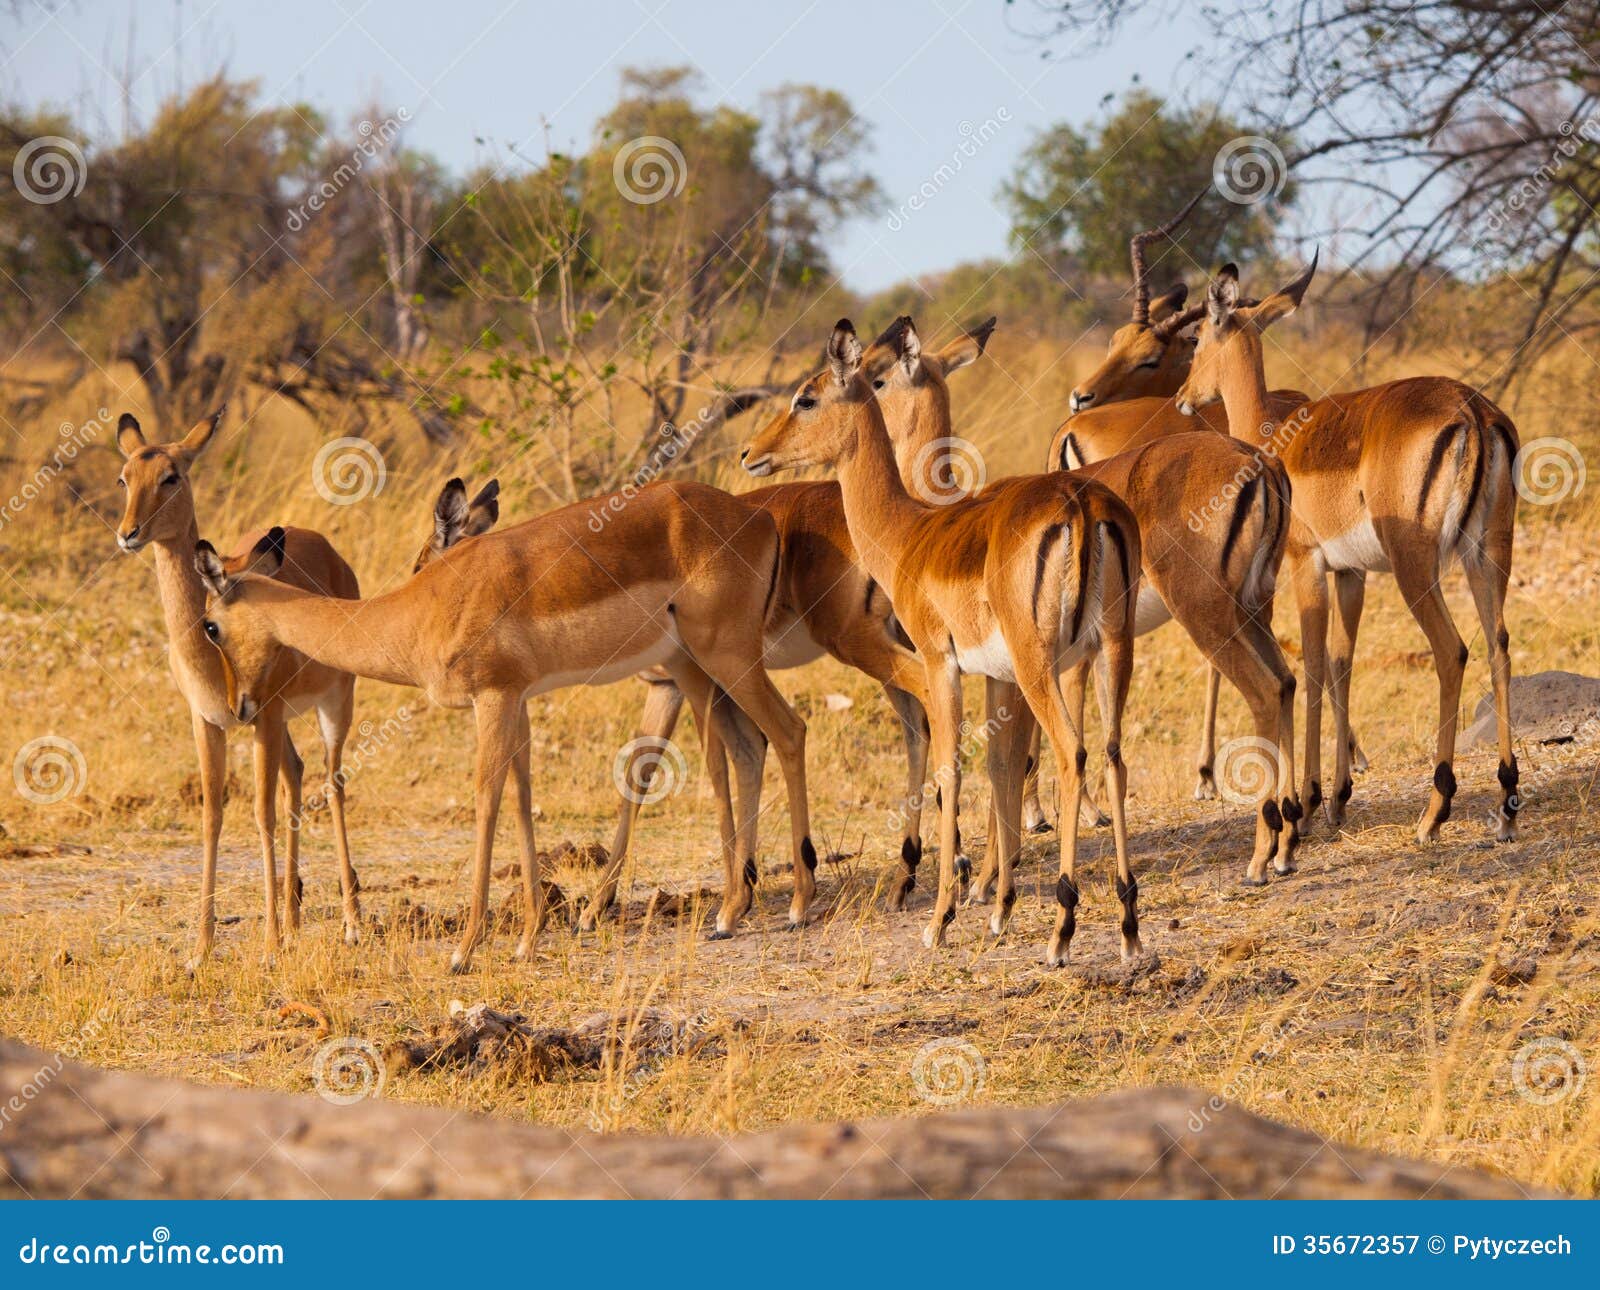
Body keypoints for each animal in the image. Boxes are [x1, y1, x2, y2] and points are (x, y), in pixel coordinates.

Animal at [113, 409, 362, 965]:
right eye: (124, 477)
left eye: (171, 475)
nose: (128, 534)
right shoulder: (209, 722)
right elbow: (213, 816)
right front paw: (201, 948)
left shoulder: (261, 715)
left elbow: (261, 813)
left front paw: (268, 945)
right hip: (281, 720)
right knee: (297, 773)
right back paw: (293, 921)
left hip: (333, 703)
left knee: (332, 782)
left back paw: (351, 925)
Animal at [193, 480, 817, 971]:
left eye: (211, 626)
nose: (240, 706)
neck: (422, 608)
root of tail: (758, 517)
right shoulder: (516, 699)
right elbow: (522, 795)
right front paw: (526, 939)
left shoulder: (492, 698)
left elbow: (486, 798)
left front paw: (463, 951)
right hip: (701, 666)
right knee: (749, 744)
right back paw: (732, 913)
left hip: (723, 656)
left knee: (788, 731)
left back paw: (793, 906)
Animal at [743, 320, 1144, 965]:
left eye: (806, 397)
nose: (750, 453)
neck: (911, 530)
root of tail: (1082, 503)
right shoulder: (997, 677)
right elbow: (1001, 766)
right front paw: (999, 908)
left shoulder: (941, 663)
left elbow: (951, 768)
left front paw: (942, 916)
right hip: (1110, 650)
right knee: (1111, 754)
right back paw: (1130, 922)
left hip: (1039, 666)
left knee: (1071, 753)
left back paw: (1062, 928)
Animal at [873, 317, 1301, 884]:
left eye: (877, 380)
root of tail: (1259, 463)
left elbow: (1018, 753)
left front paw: (995, 867)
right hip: (1253, 608)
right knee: (1287, 682)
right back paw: (1288, 840)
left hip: (1207, 613)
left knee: (1264, 691)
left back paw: (1260, 854)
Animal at [1174, 258, 1520, 844]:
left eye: (1198, 336)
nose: (1182, 395)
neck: (1273, 433)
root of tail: (1471, 410)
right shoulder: (1351, 573)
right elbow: (1342, 662)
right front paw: (1337, 798)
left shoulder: (1306, 564)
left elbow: (1310, 666)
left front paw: (1307, 803)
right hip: (1487, 555)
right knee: (1499, 646)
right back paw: (1506, 803)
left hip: (1415, 567)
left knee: (1451, 651)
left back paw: (1434, 812)